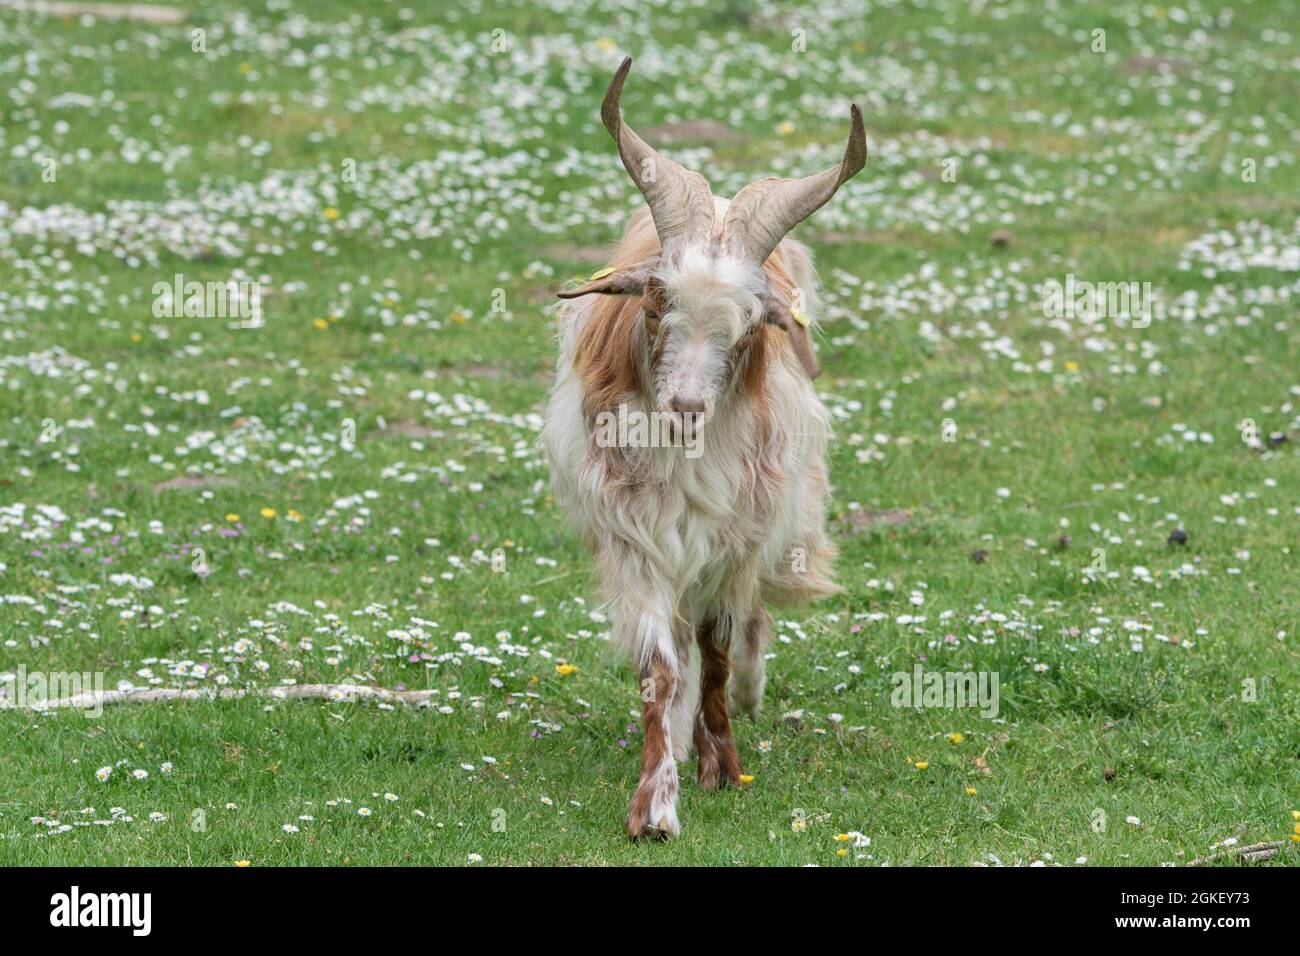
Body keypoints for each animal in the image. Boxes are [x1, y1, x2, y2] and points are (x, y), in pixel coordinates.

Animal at [543, 58, 865, 840]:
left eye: (749, 323)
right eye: (657, 302)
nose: (687, 407)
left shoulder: (738, 536)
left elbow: (719, 647)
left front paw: (723, 763)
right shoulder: (635, 538)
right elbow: (661, 665)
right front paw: (655, 806)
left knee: (748, 626)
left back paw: (748, 693)